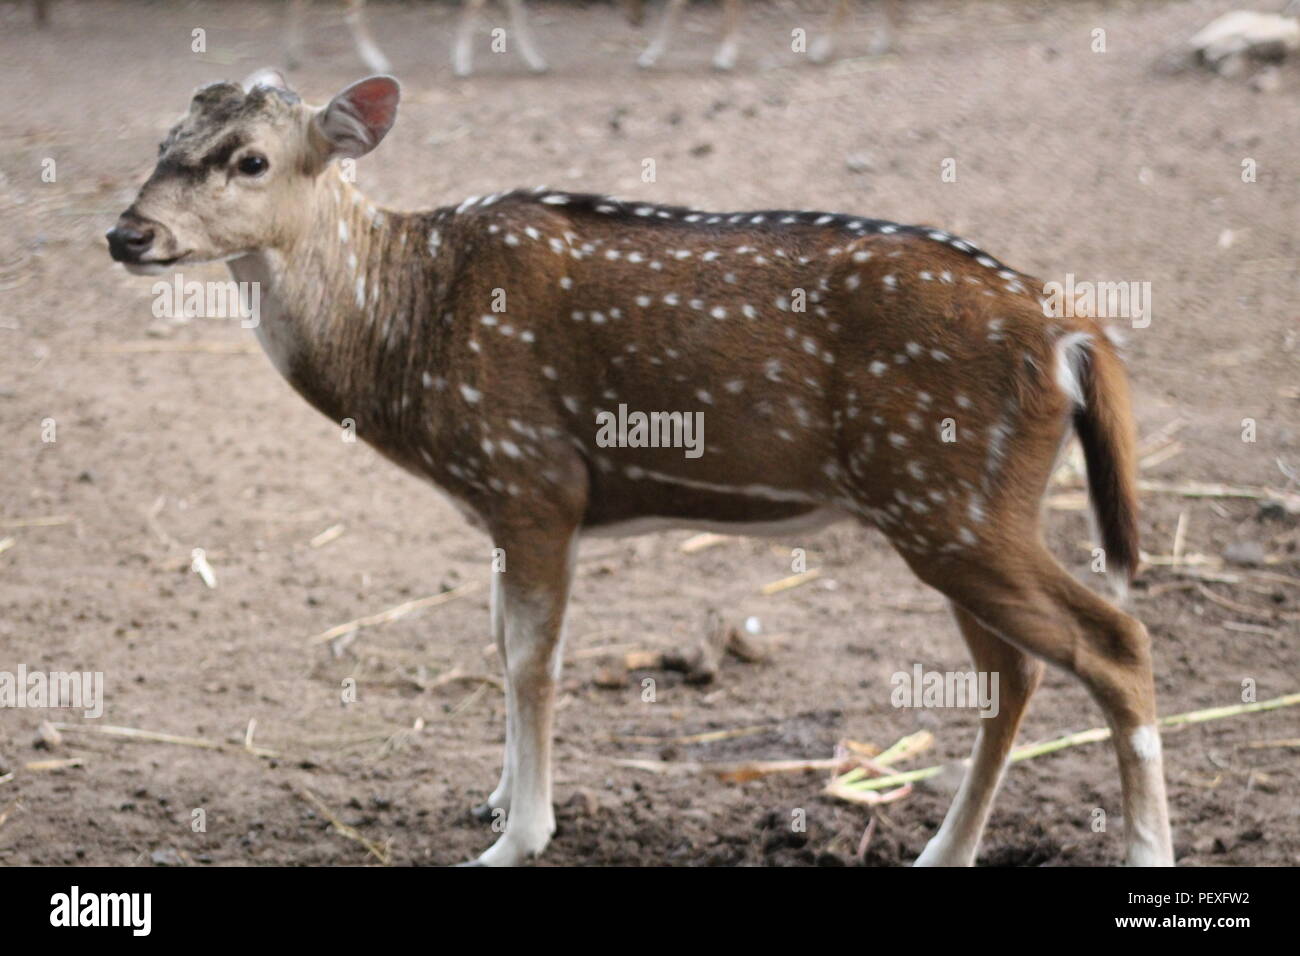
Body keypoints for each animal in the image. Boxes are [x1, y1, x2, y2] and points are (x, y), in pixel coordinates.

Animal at [106, 71, 1174, 867]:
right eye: (163, 139)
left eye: (250, 158)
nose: (127, 232)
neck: (410, 332)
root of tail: (1073, 332)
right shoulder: (502, 505)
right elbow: (497, 643)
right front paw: (496, 801)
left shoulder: (534, 480)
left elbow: (532, 659)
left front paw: (520, 837)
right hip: (951, 506)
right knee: (1015, 669)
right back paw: (943, 851)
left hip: (951, 499)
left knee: (1113, 640)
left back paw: (1144, 852)